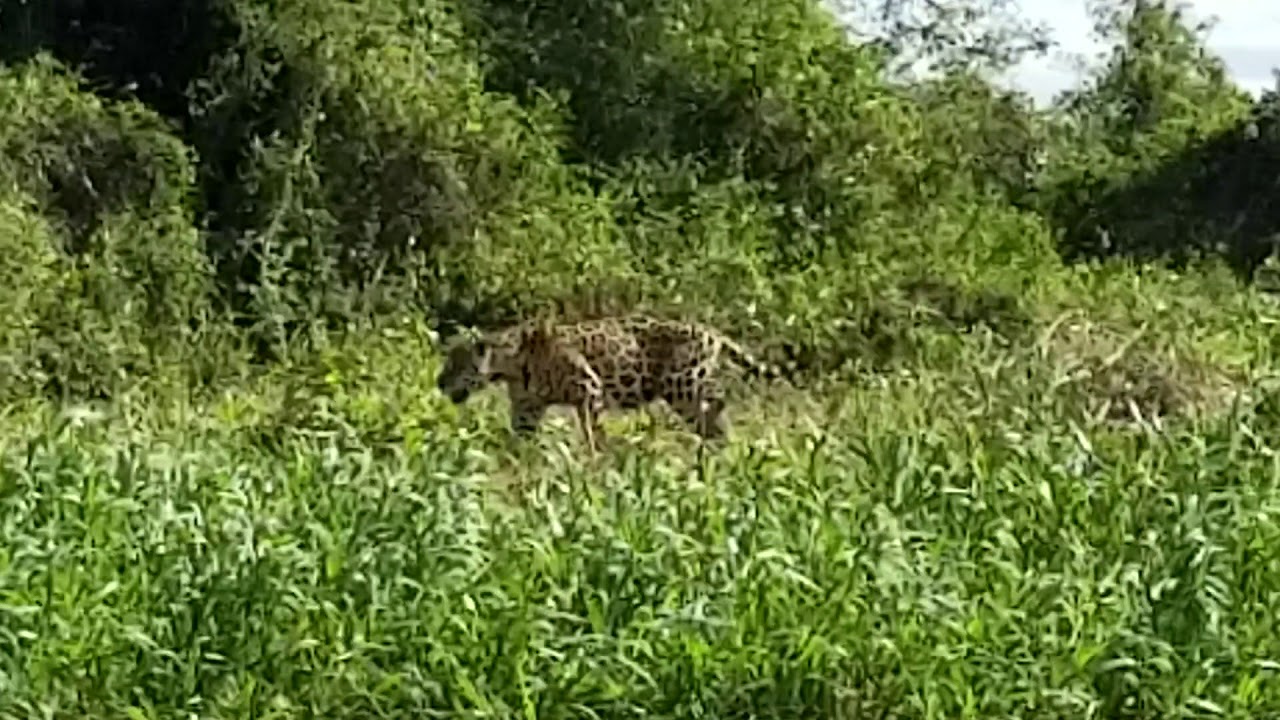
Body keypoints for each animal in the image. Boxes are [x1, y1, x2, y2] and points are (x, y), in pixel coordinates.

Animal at [435, 313, 783, 450]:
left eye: (453, 364)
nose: (438, 383)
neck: (508, 363)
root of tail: (711, 331)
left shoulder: (589, 388)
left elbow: (592, 431)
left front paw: (596, 460)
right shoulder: (526, 409)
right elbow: (519, 438)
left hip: (682, 386)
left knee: (716, 405)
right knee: (714, 419)